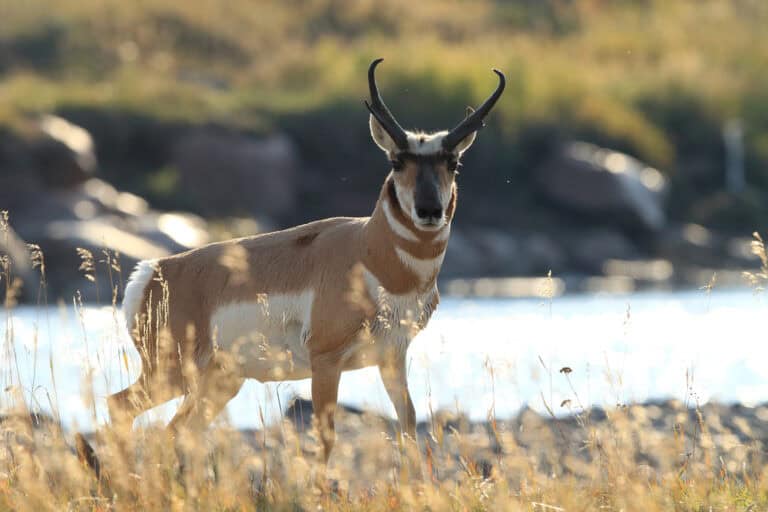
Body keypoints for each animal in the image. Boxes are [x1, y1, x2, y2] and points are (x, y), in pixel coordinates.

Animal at [105, 58, 505, 462]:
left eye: (453, 163)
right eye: (397, 160)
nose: (429, 211)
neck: (369, 251)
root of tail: (154, 271)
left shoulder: (392, 357)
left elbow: (408, 426)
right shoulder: (326, 361)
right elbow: (326, 436)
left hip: (220, 381)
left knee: (174, 432)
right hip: (173, 373)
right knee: (120, 405)